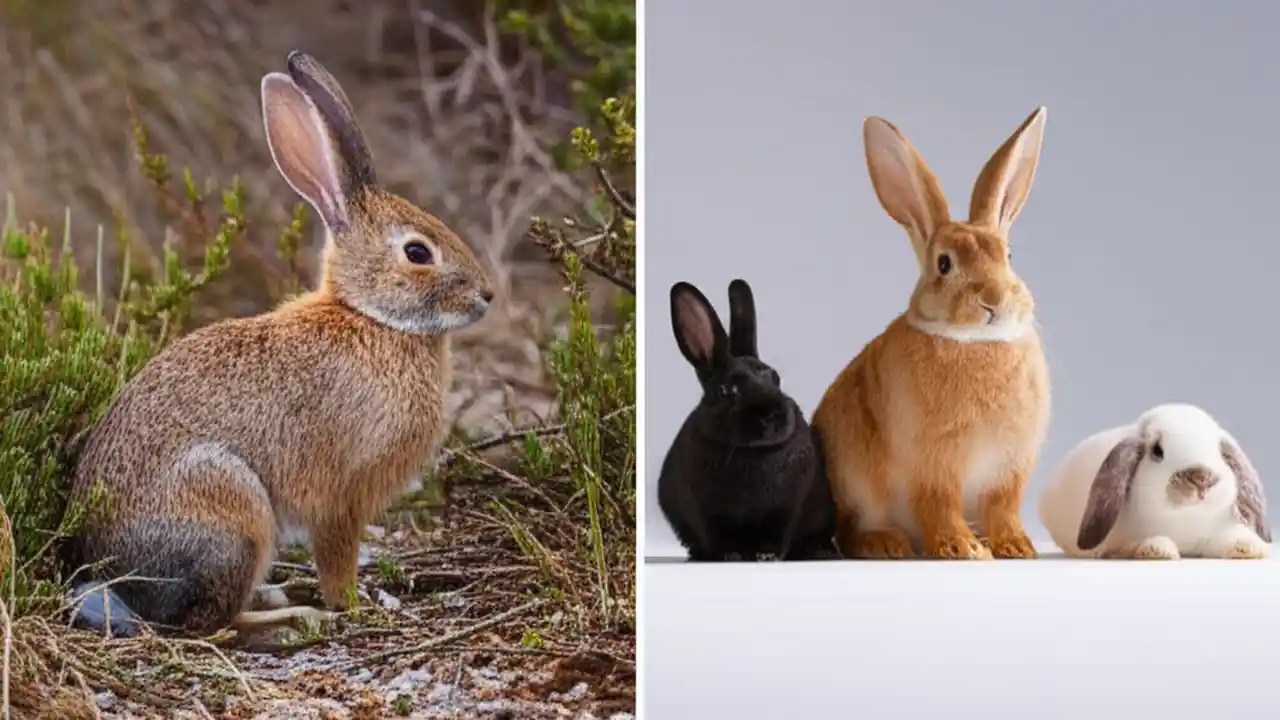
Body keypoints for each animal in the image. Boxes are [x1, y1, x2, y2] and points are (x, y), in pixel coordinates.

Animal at [62, 50, 494, 636]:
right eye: (418, 253)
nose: (486, 295)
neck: (370, 317)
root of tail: (119, 583)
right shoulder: (342, 497)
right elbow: (337, 558)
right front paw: (353, 606)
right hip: (234, 509)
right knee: (214, 622)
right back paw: (294, 613)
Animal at [657, 279, 837, 562]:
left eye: (775, 378)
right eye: (727, 391)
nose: (772, 414)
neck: (751, 452)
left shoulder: (785, 508)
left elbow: (777, 532)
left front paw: (766, 555)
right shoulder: (708, 512)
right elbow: (718, 534)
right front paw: (730, 555)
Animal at [811, 107, 1051, 560]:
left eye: (1008, 256)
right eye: (944, 264)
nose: (993, 299)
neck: (975, 342)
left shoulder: (1008, 470)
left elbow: (1002, 509)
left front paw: (1015, 547)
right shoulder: (934, 465)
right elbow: (938, 505)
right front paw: (963, 549)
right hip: (854, 489)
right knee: (849, 531)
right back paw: (887, 543)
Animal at [1038, 403, 1271, 560]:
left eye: (1220, 453)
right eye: (1157, 451)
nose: (1200, 477)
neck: (1185, 517)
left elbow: (1228, 538)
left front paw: (1248, 548)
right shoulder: (1121, 540)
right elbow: (1135, 544)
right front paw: (1158, 550)